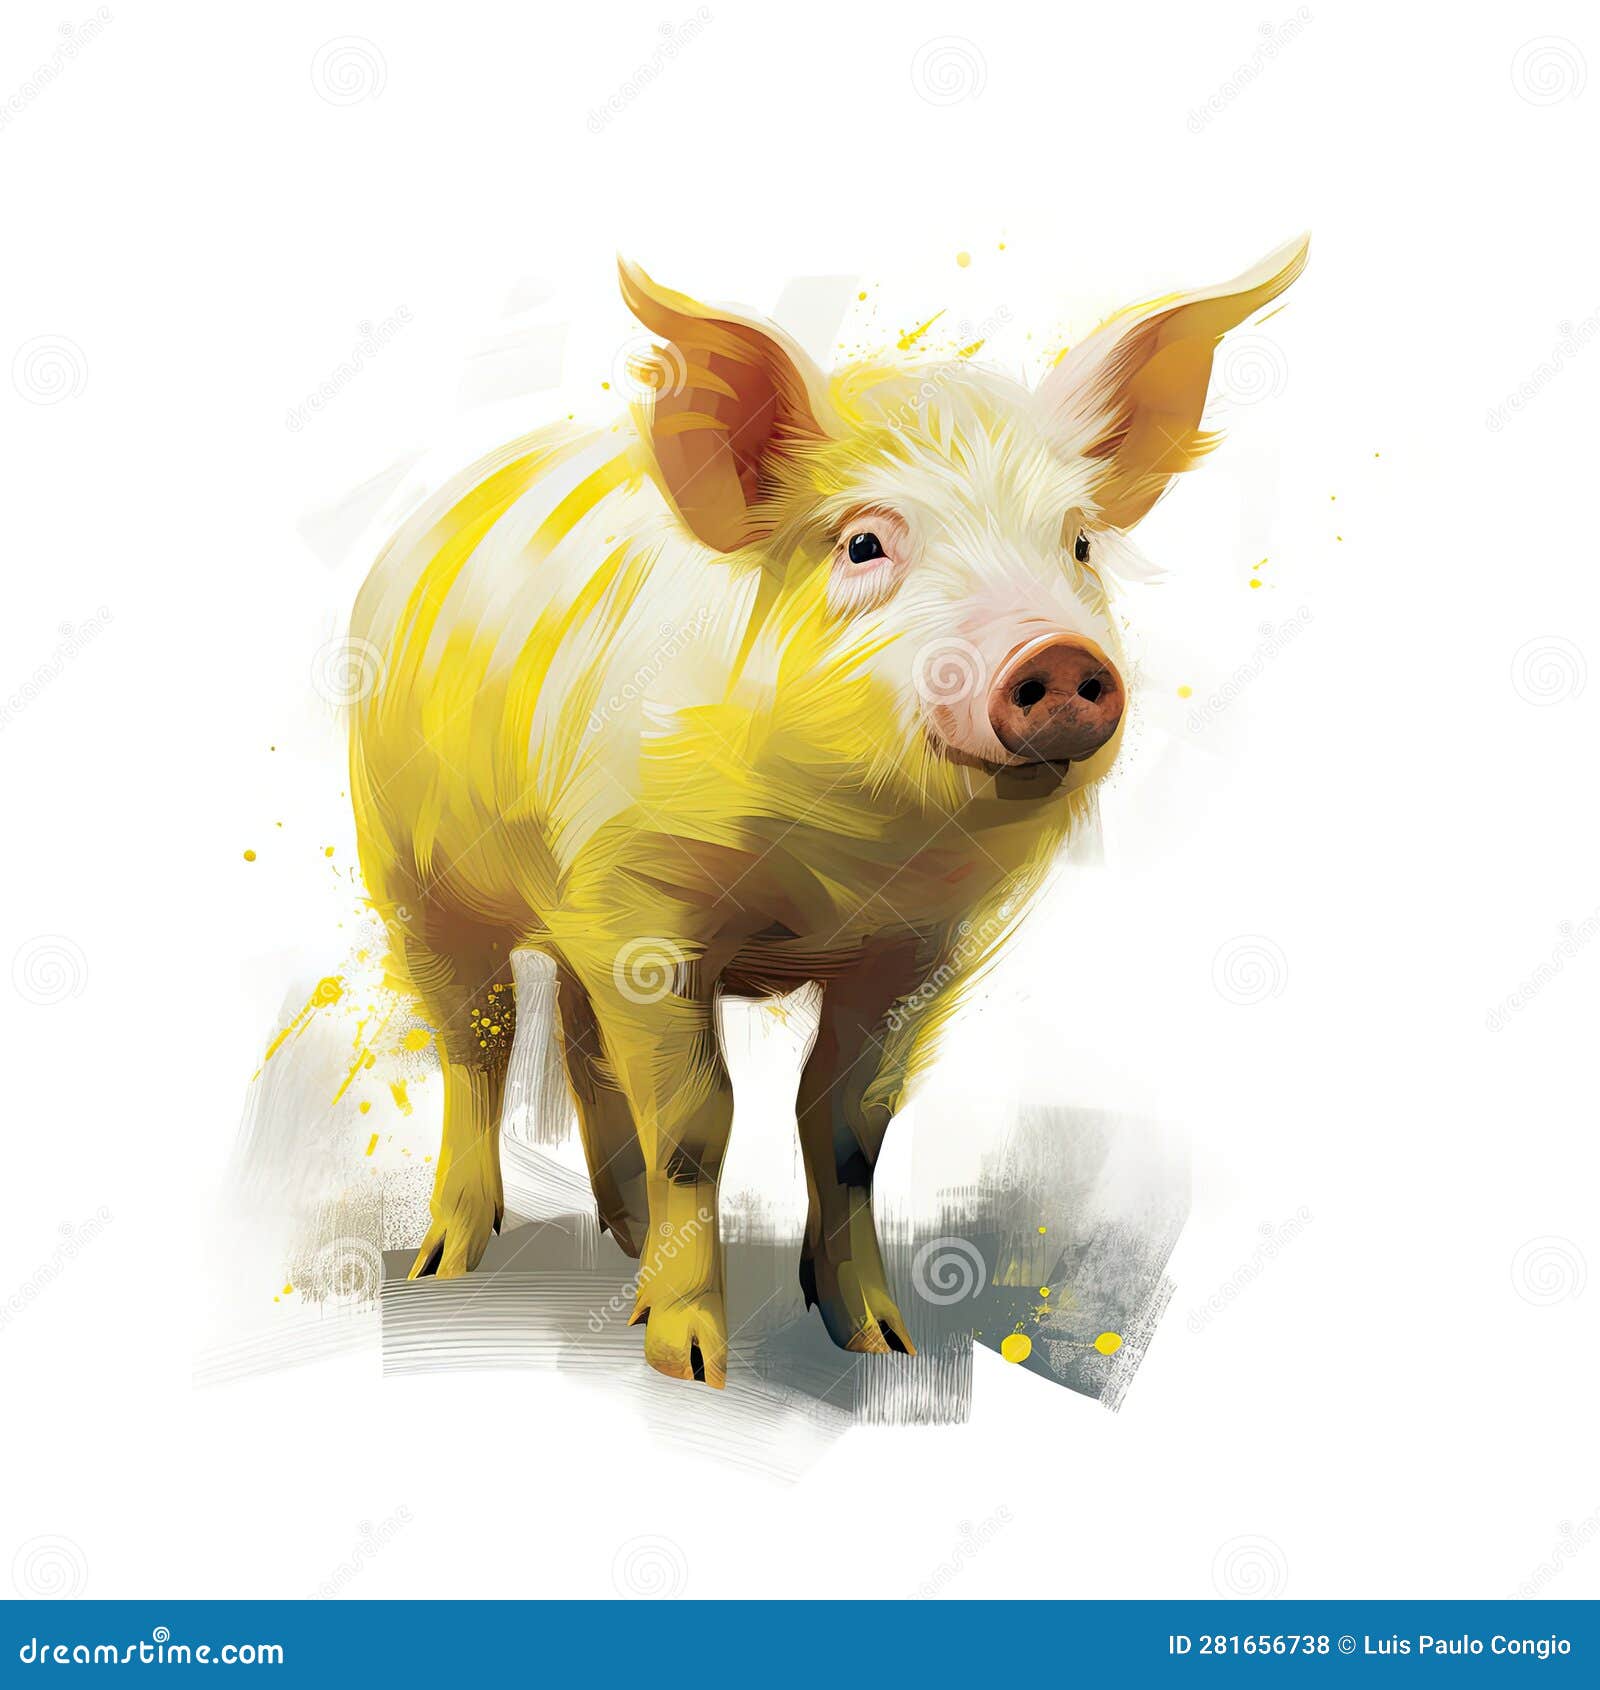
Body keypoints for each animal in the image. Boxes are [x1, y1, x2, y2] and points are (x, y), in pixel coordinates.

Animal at [349, 235, 1309, 1386]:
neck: (834, 865)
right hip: (409, 869)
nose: (1059, 657)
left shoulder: (917, 948)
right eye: (863, 546)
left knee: (581, 1044)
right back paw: (446, 1265)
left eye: (1077, 545)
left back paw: (620, 1238)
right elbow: (696, 1125)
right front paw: (690, 1365)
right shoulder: (642, 906)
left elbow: (849, 1127)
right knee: (476, 1044)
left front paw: (881, 1344)